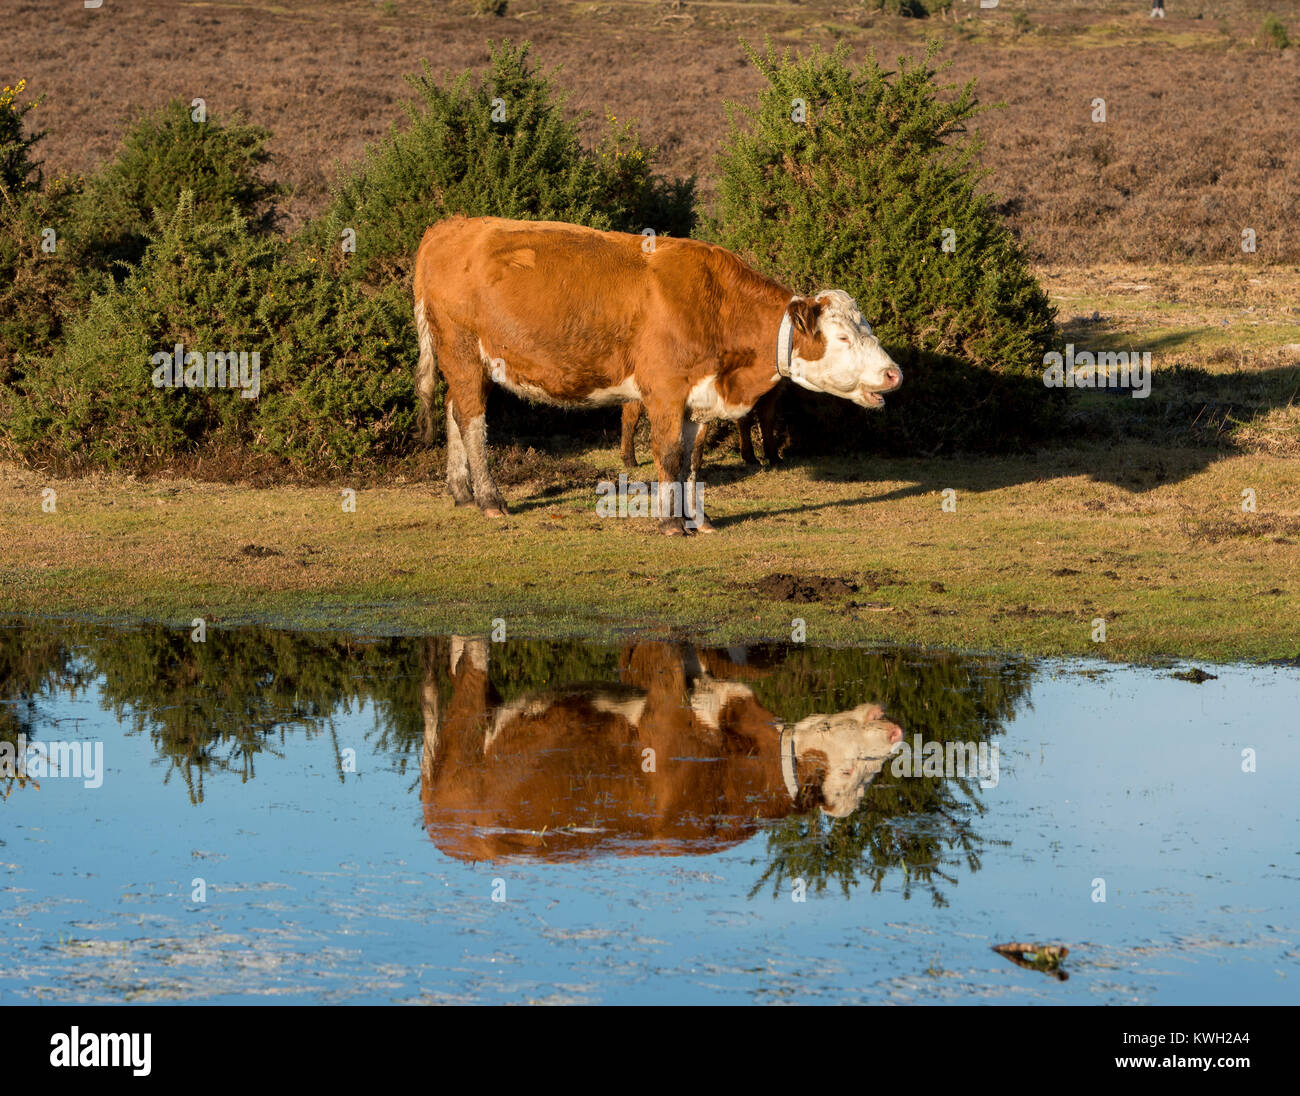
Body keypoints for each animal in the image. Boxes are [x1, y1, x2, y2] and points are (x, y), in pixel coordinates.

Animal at [413, 216, 902, 534]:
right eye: (842, 337)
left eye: (868, 328)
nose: (893, 373)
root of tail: (452, 225)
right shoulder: (665, 390)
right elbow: (668, 455)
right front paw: (669, 522)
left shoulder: (698, 399)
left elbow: (692, 458)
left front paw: (698, 518)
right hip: (463, 351)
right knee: (472, 420)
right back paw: (489, 499)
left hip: (462, 360)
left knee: (454, 410)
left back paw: (461, 492)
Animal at [418, 638, 905, 861]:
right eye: (850, 773)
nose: (896, 732)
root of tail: (441, 828)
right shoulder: (666, 701)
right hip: (466, 726)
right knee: (470, 659)